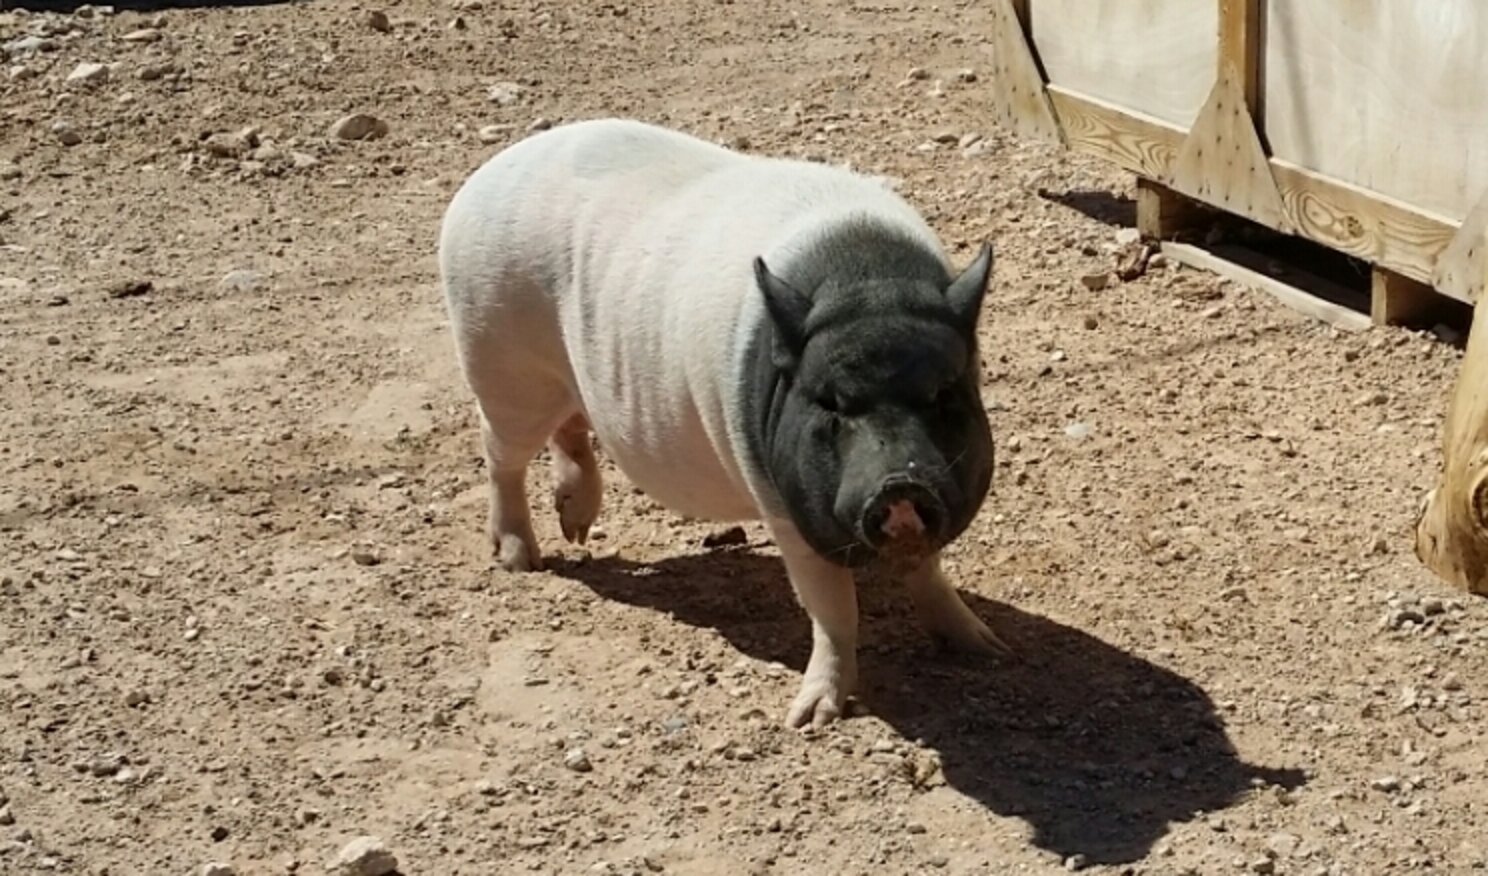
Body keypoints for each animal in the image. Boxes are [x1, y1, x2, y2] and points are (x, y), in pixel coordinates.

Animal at [438, 118, 1008, 729]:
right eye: (828, 403)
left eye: (944, 395)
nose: (901, 482)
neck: (867, 287)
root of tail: (481, 181)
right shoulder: (781, 504)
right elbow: (833, 608)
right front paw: (810, 719)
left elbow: (928, 571)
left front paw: (989, 647)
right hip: (499, 361)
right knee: (502, 455)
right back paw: (523, 559)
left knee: (568, 429)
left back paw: (576, 529)